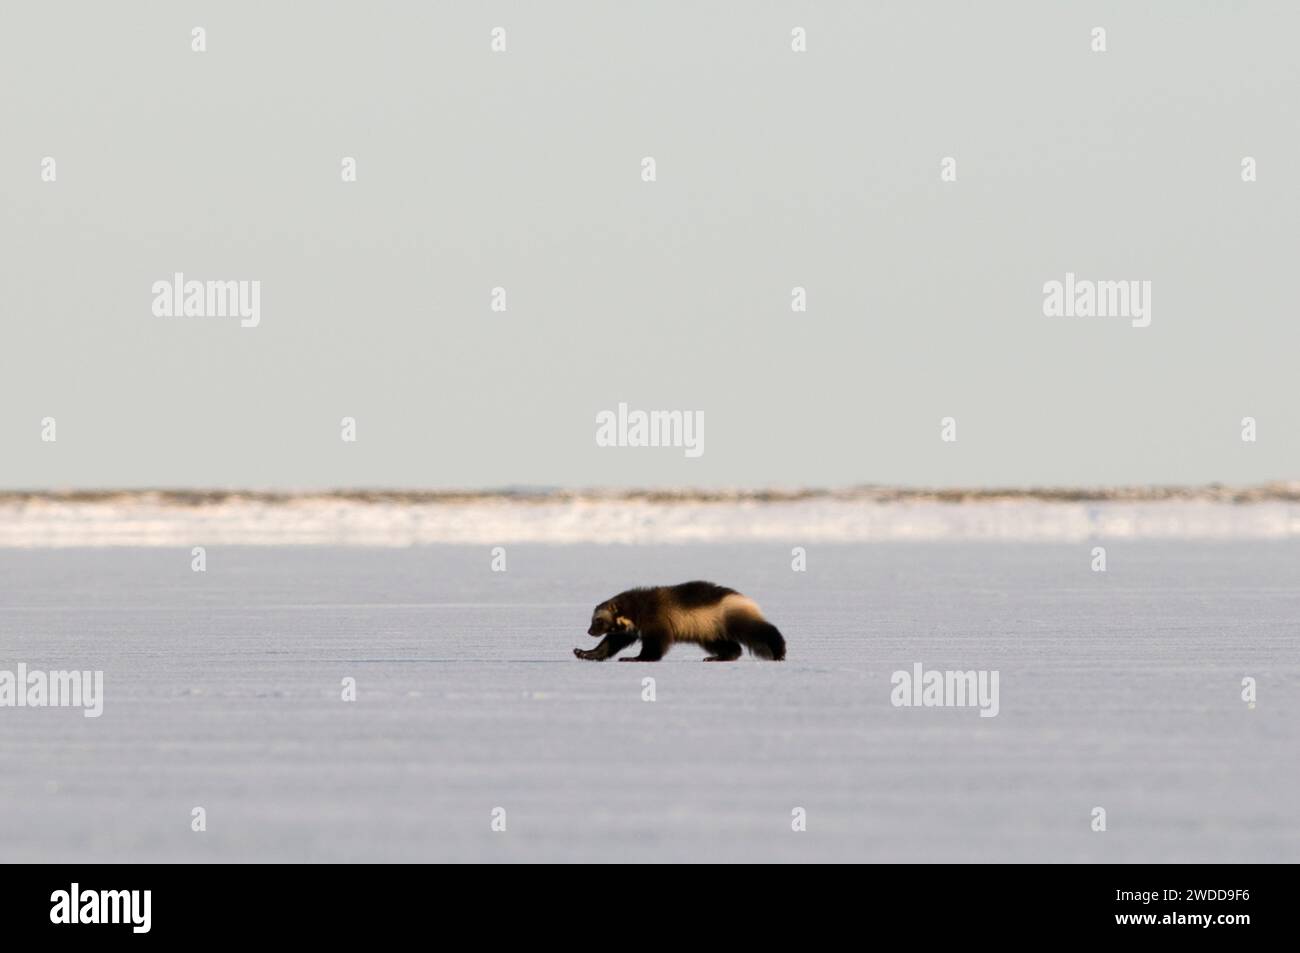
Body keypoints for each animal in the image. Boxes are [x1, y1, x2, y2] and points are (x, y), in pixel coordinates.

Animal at [574, 581, 786, 661]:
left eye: (598, 620)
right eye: (592, 620)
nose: (589, 631)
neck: (637, 608)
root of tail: (743, 598)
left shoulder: (655, 620)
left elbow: (655, 645)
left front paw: (635, 658)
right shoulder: (629, 629)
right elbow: (610, 643)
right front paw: (585, 653)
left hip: (731, 619)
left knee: (761, 630)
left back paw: (778, 650)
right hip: (709, 631)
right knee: (731, 647)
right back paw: (717, 657)